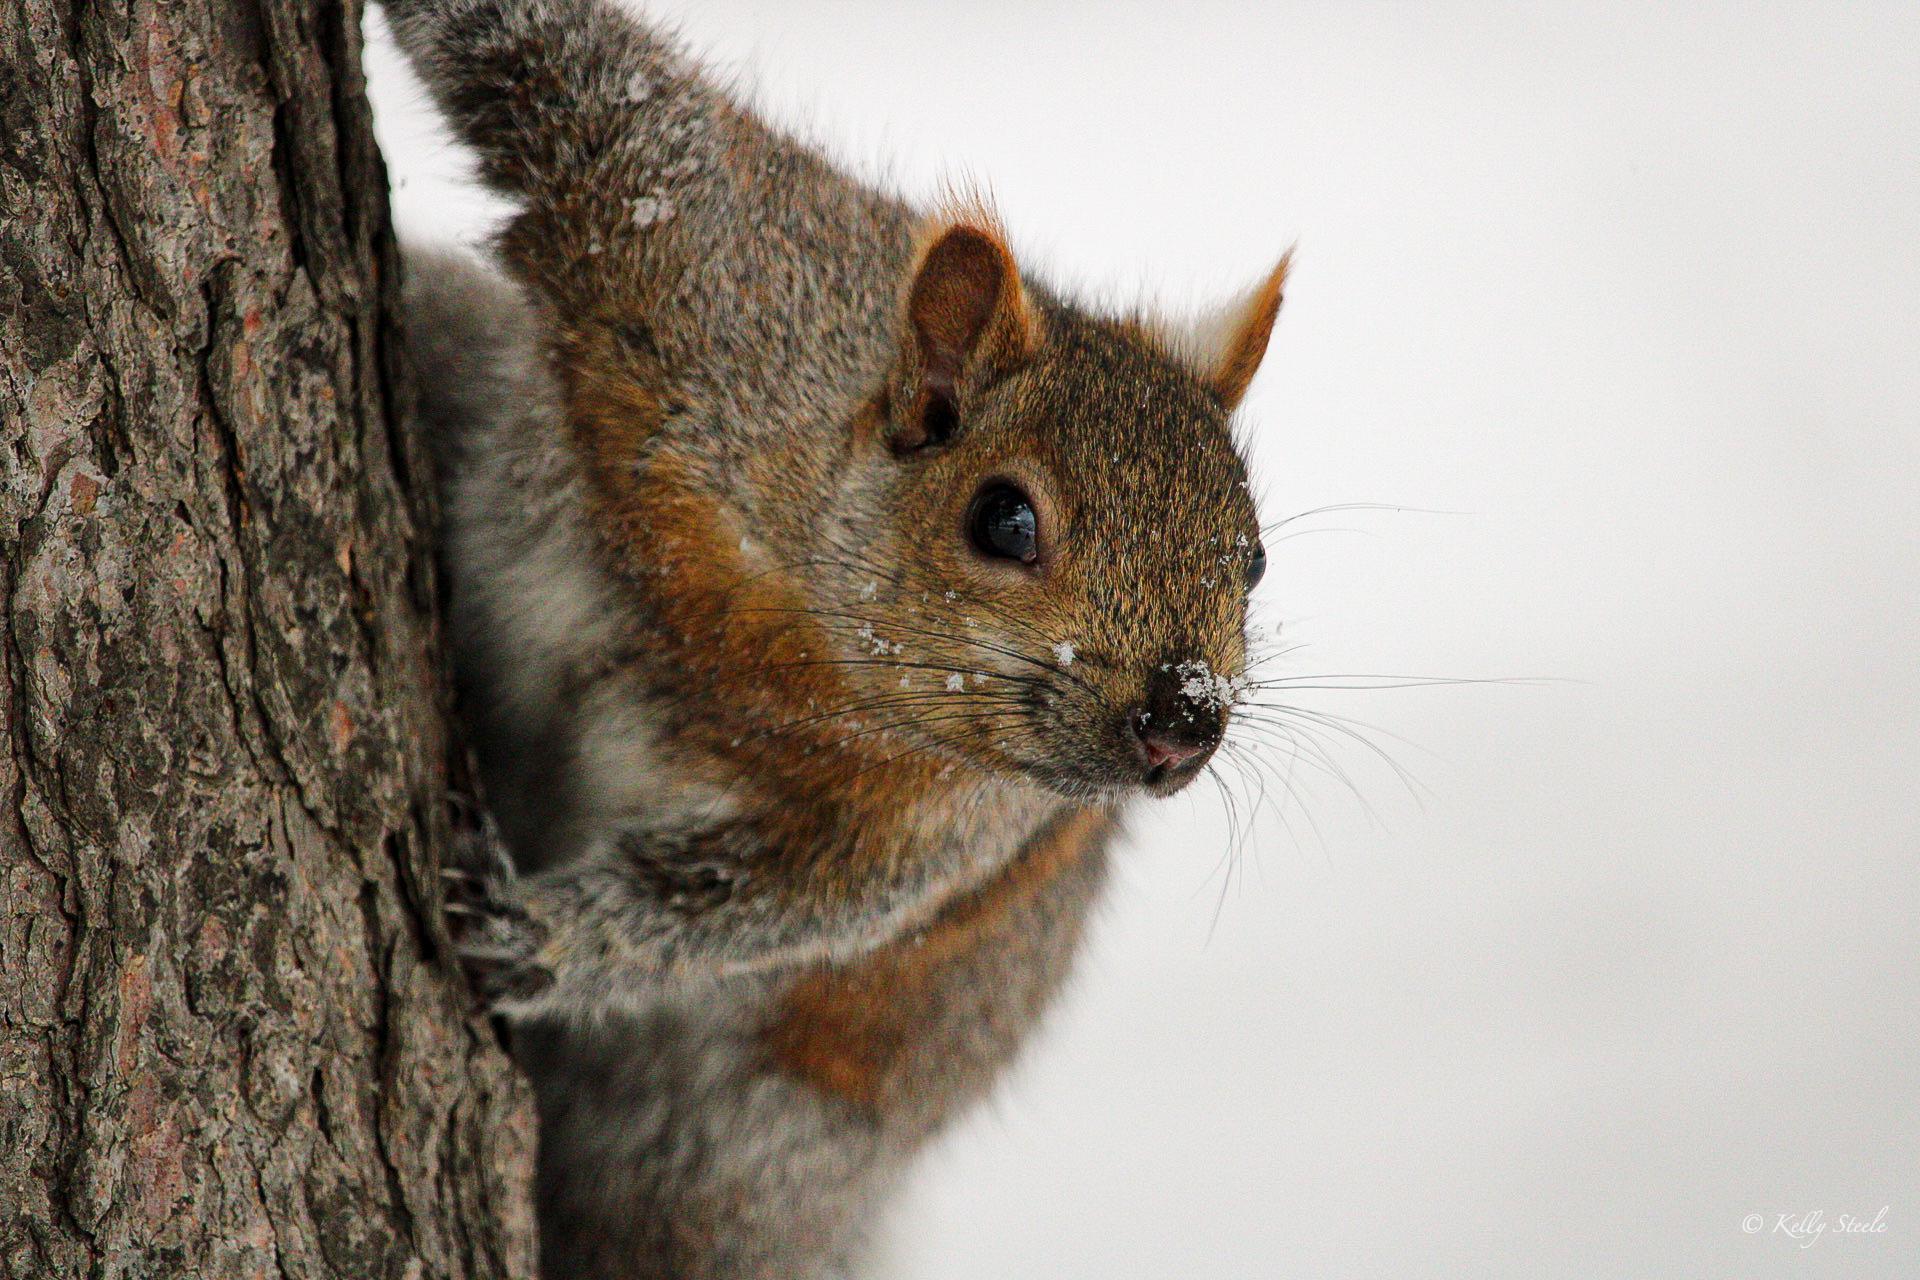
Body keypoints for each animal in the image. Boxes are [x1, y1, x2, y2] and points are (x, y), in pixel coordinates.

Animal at [384, 0, 1287, 1276]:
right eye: (1004, 517)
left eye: (1251, 559)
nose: (1184, 717)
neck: (790, 627)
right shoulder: (707, 252)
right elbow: (565, 77)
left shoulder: (932, 822)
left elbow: (764, 903)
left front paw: (548, 936)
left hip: (721, 1162)